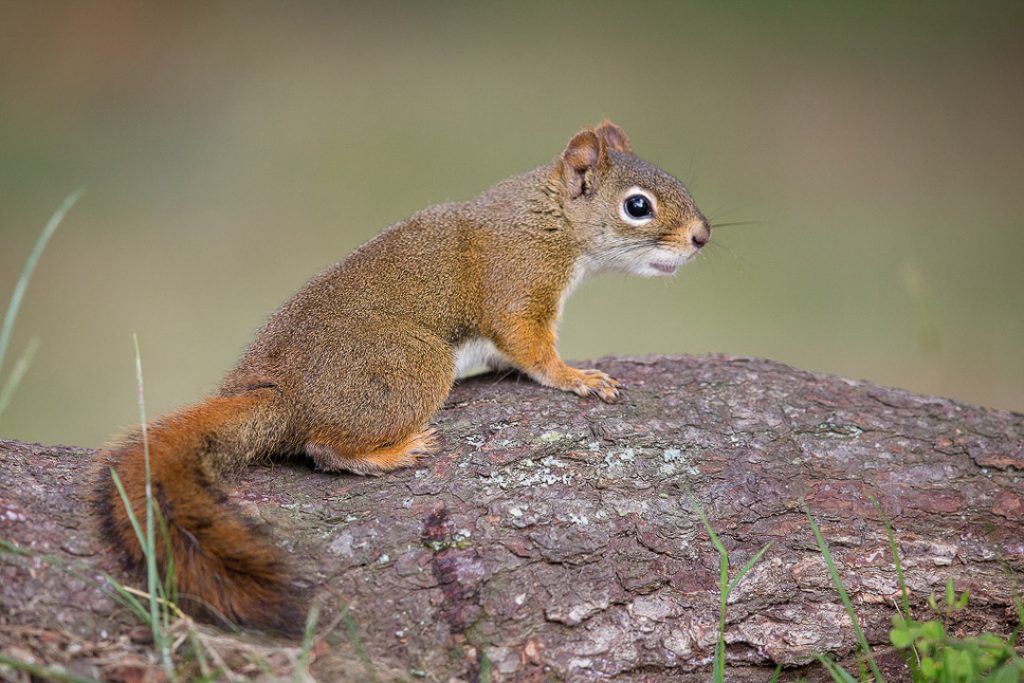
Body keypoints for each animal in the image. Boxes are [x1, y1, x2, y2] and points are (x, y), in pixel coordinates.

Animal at [92, 120, 710, 634]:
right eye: (638, 206)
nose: (702, 236)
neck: (551, 219)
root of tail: (282, 394)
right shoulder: (519, 284)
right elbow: (531, 348)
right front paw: (577, 376)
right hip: (413, 364)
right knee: (324, 447)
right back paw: (392, 452)